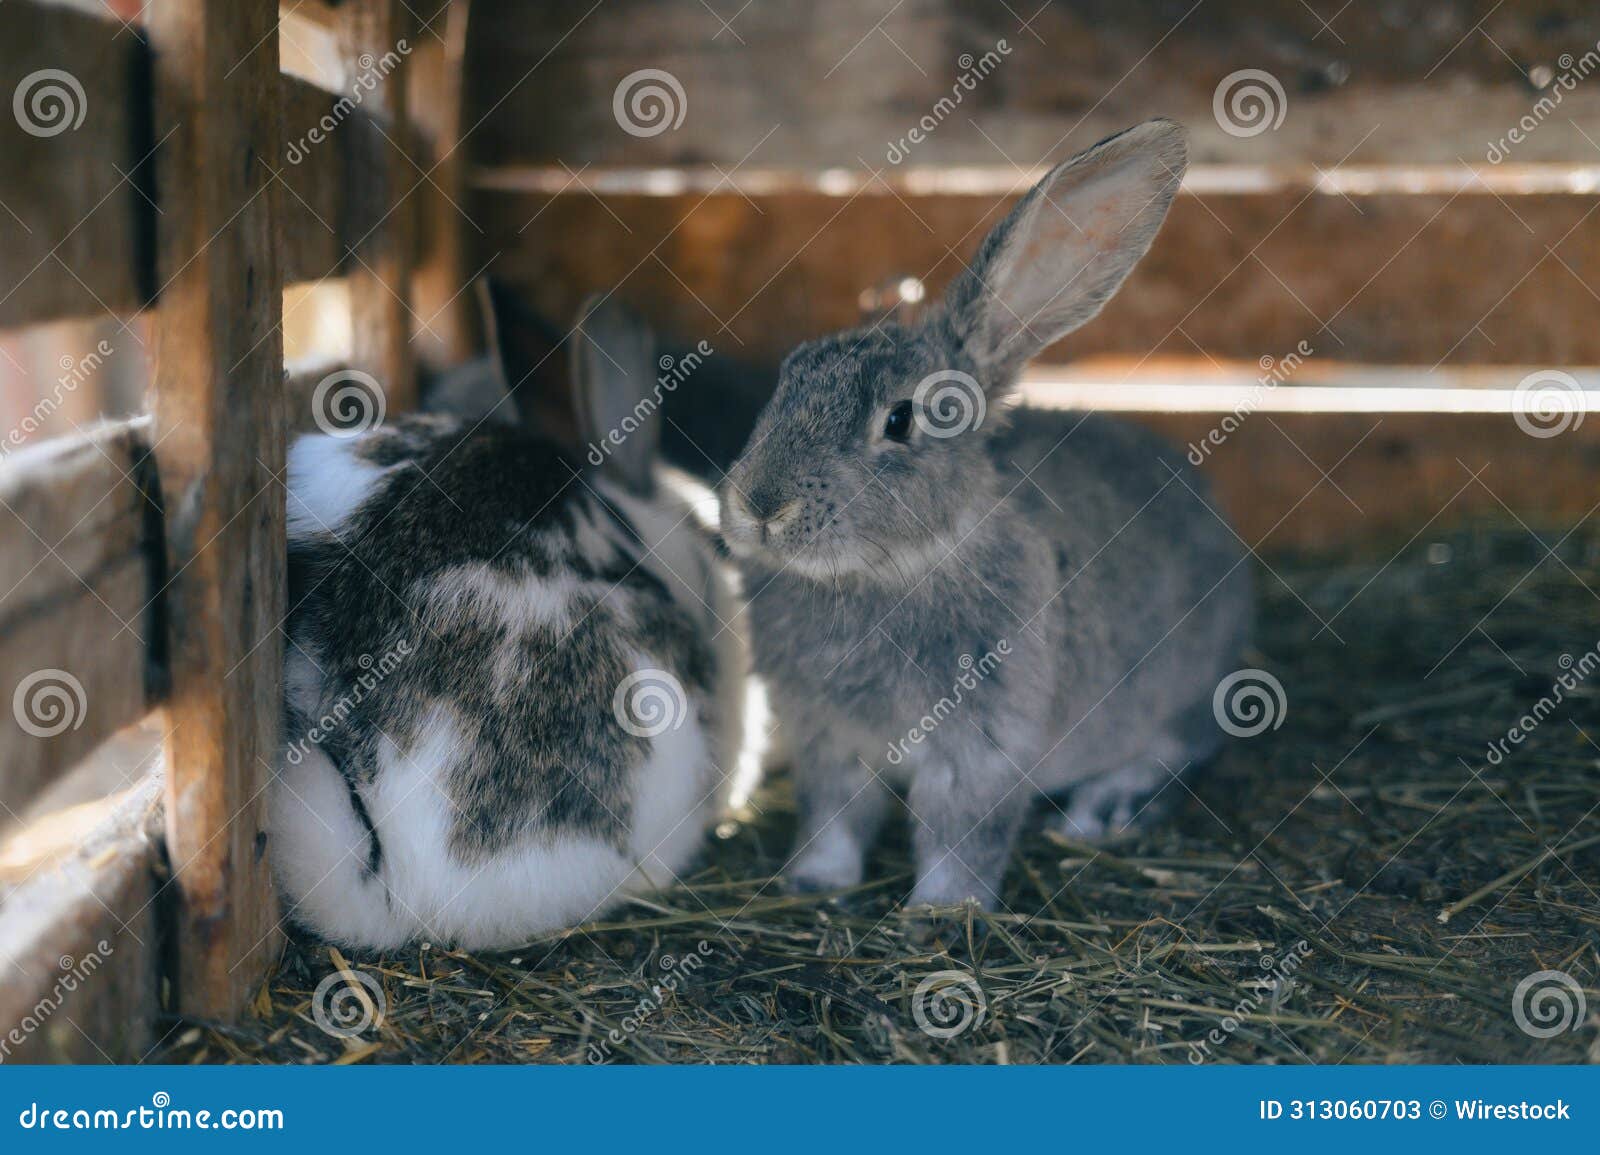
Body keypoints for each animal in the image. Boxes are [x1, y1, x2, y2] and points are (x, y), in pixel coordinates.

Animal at [717, 119, 1252, 910]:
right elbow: (833, 816)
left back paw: (1101, 810)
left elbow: (959, 831)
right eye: (787, 379)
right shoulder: (827, 739)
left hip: (1182, 690)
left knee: (1176, 749)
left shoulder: (983, 743)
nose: (760, 505)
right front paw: (816, 881)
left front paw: (942, 908)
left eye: (901, 420)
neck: (888, 572)